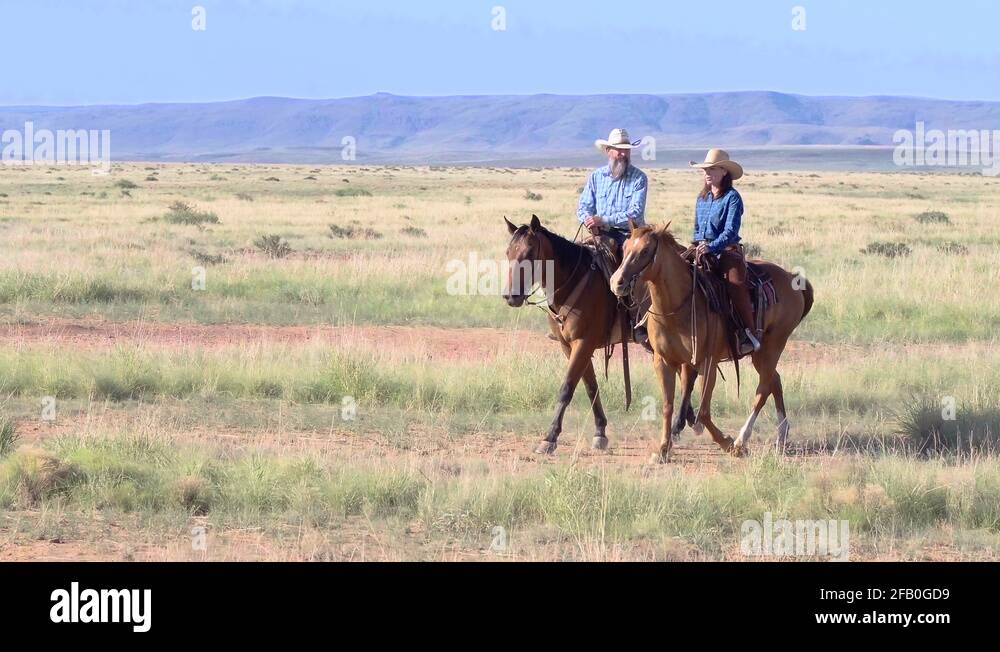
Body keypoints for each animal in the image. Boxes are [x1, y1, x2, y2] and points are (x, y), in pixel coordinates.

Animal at [503, 215, 627, 455]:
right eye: (508, 253)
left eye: (530, 253)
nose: (510, 296)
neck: (573, 282)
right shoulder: (569, 346)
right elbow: (590, 386)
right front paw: (600, 432)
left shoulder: (584, 343)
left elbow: (567, 388)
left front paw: (550, 438)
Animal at [609, 221, 814, 462]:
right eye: (625, 248)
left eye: (645, 251)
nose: (617, 282)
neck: (678, 305)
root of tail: (793, 277)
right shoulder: (664, 361)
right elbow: (668, 405)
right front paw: (663, 449)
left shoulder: (707, 363)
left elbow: (704, 413)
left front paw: (727, 443)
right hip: (760, 354)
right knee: (775, 381)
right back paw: (782, 436)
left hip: (773, 345)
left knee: (763, 388)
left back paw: (741, 440)